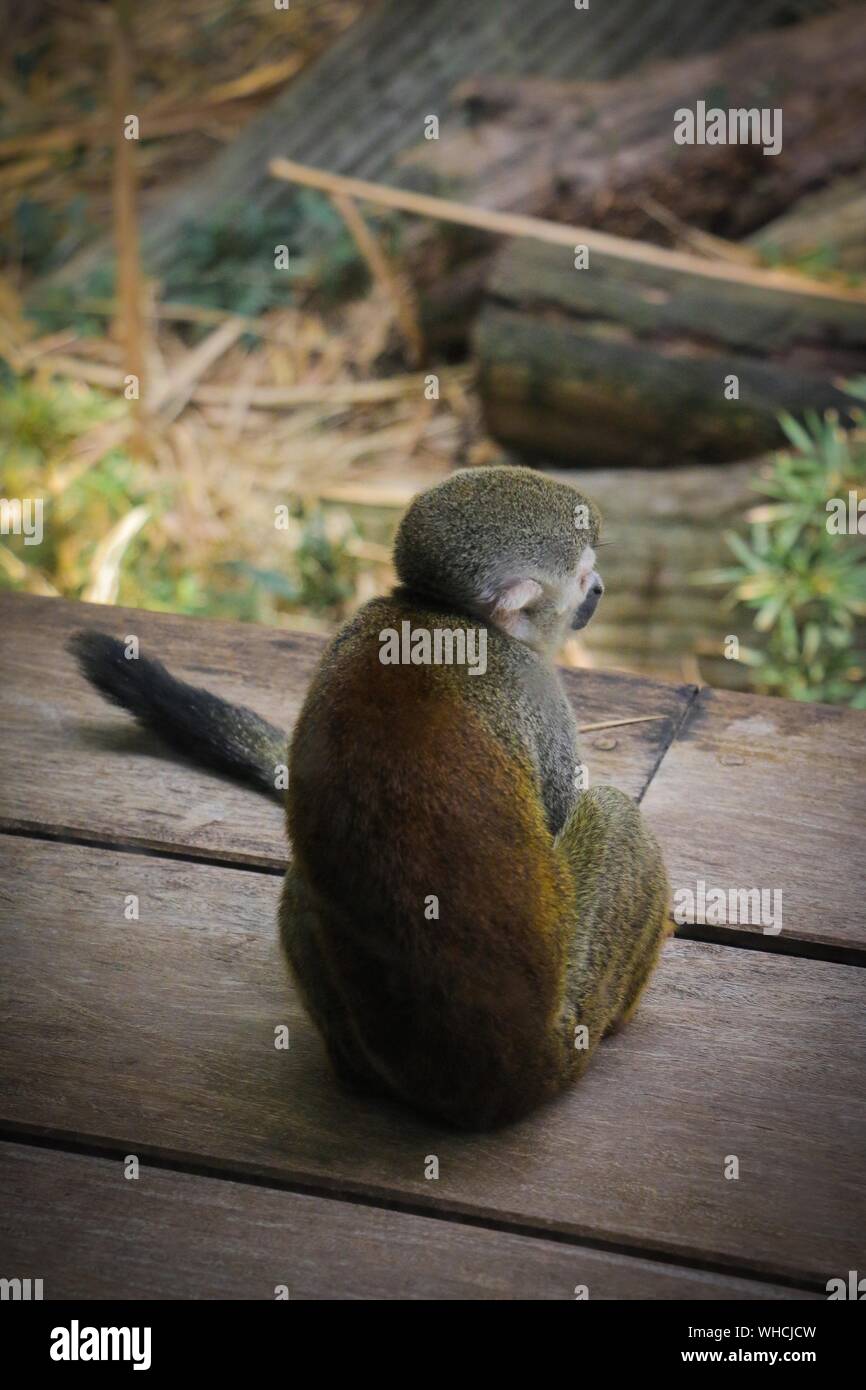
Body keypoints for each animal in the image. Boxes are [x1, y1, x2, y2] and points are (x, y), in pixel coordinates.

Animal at [71, 465, 672, 1131]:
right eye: (585, 575)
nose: (601, 591)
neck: (435, 614)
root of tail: (502, 1080)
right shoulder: (532, 683)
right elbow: (566, 804)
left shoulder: (349, 632)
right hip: (572, 1024)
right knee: (616, 817)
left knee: (302, 885)